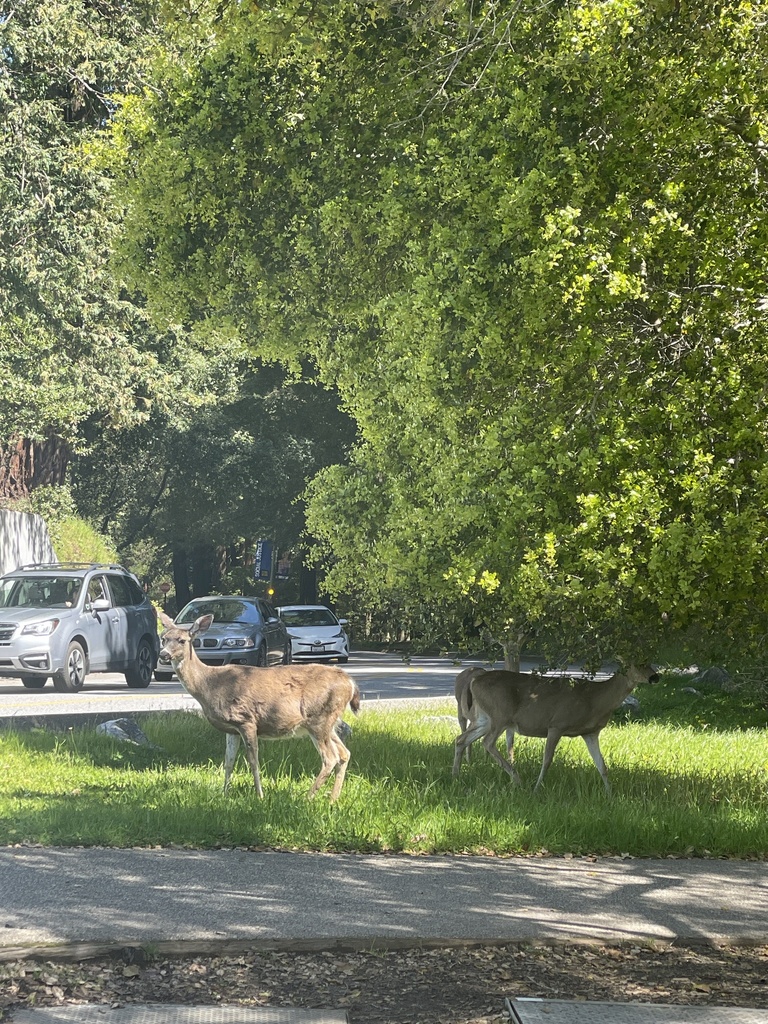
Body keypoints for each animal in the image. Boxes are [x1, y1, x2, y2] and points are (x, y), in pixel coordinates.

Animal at [159, 612, 360, 801]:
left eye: (182, 640)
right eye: (163, 638)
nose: (163, 654)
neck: (209, 684)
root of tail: (350, 683)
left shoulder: (246, 720)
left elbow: (253, 761)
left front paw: (260, 795)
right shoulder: (231, 728)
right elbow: (228, 761)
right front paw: (224, 793)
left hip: (319, 718)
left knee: (330, 757)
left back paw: (308, 798)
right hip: (328, 721)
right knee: (344, 753)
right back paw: (333, 799)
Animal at [452, 664, 659, 794]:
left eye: (648, 660)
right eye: (638, 663)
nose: (655, 677)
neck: (595, 700)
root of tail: (474, 681)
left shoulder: (590, 732)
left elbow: (601, 765)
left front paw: (610, 793)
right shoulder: (556, 724)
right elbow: (547, 760)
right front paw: (537, 788)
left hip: (484, 718)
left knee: (461, 739)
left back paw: (456, 775)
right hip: (500, 714)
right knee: (487, 742)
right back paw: (517, 779)